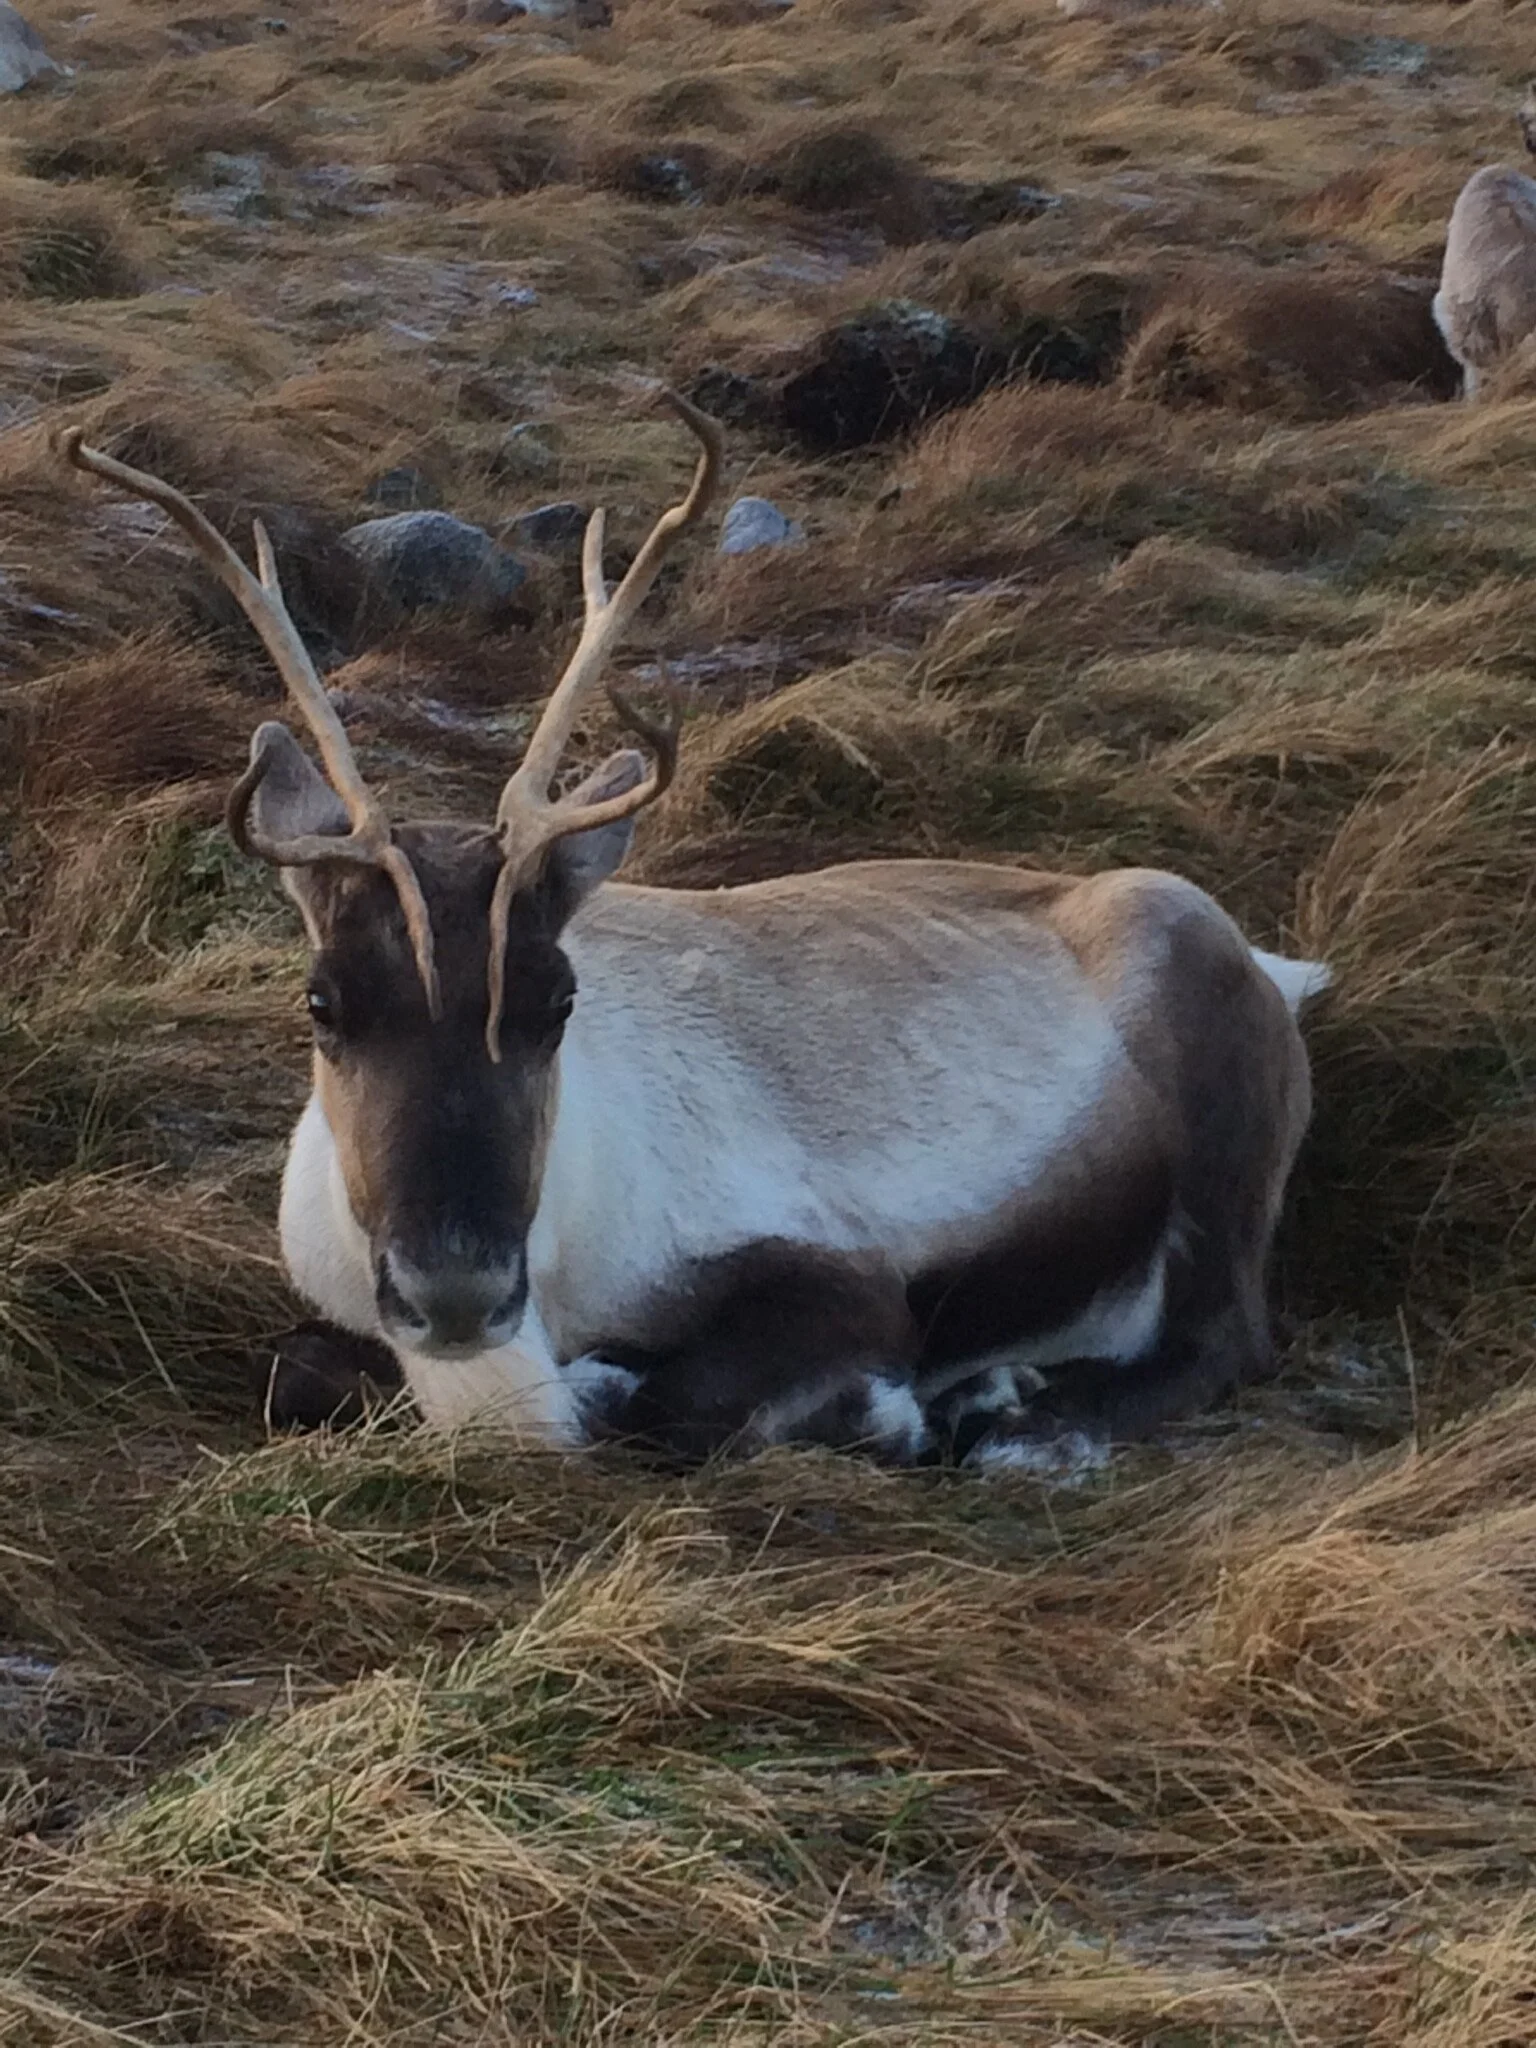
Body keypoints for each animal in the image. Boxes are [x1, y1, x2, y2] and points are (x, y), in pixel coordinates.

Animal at [61, 393, 1330, 1472]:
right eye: (322, 999)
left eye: (558, 999)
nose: (458, 1291)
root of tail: (1276, 966)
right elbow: (296, 1371)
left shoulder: (840, 1278)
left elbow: (664, 1402)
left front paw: (881, 1410)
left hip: (1211, 1092)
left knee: (1227, 1333)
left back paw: (1021, 1418)